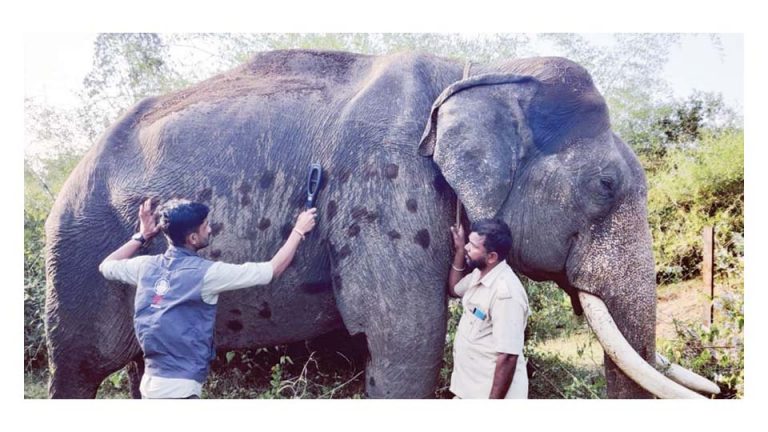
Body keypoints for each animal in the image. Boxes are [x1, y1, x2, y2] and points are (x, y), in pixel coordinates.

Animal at [44, 49, 719, 398]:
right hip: (75, 247)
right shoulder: (386, 189)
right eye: (605, 187)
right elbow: (403, 339)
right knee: (79, 366)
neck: (474, 69)